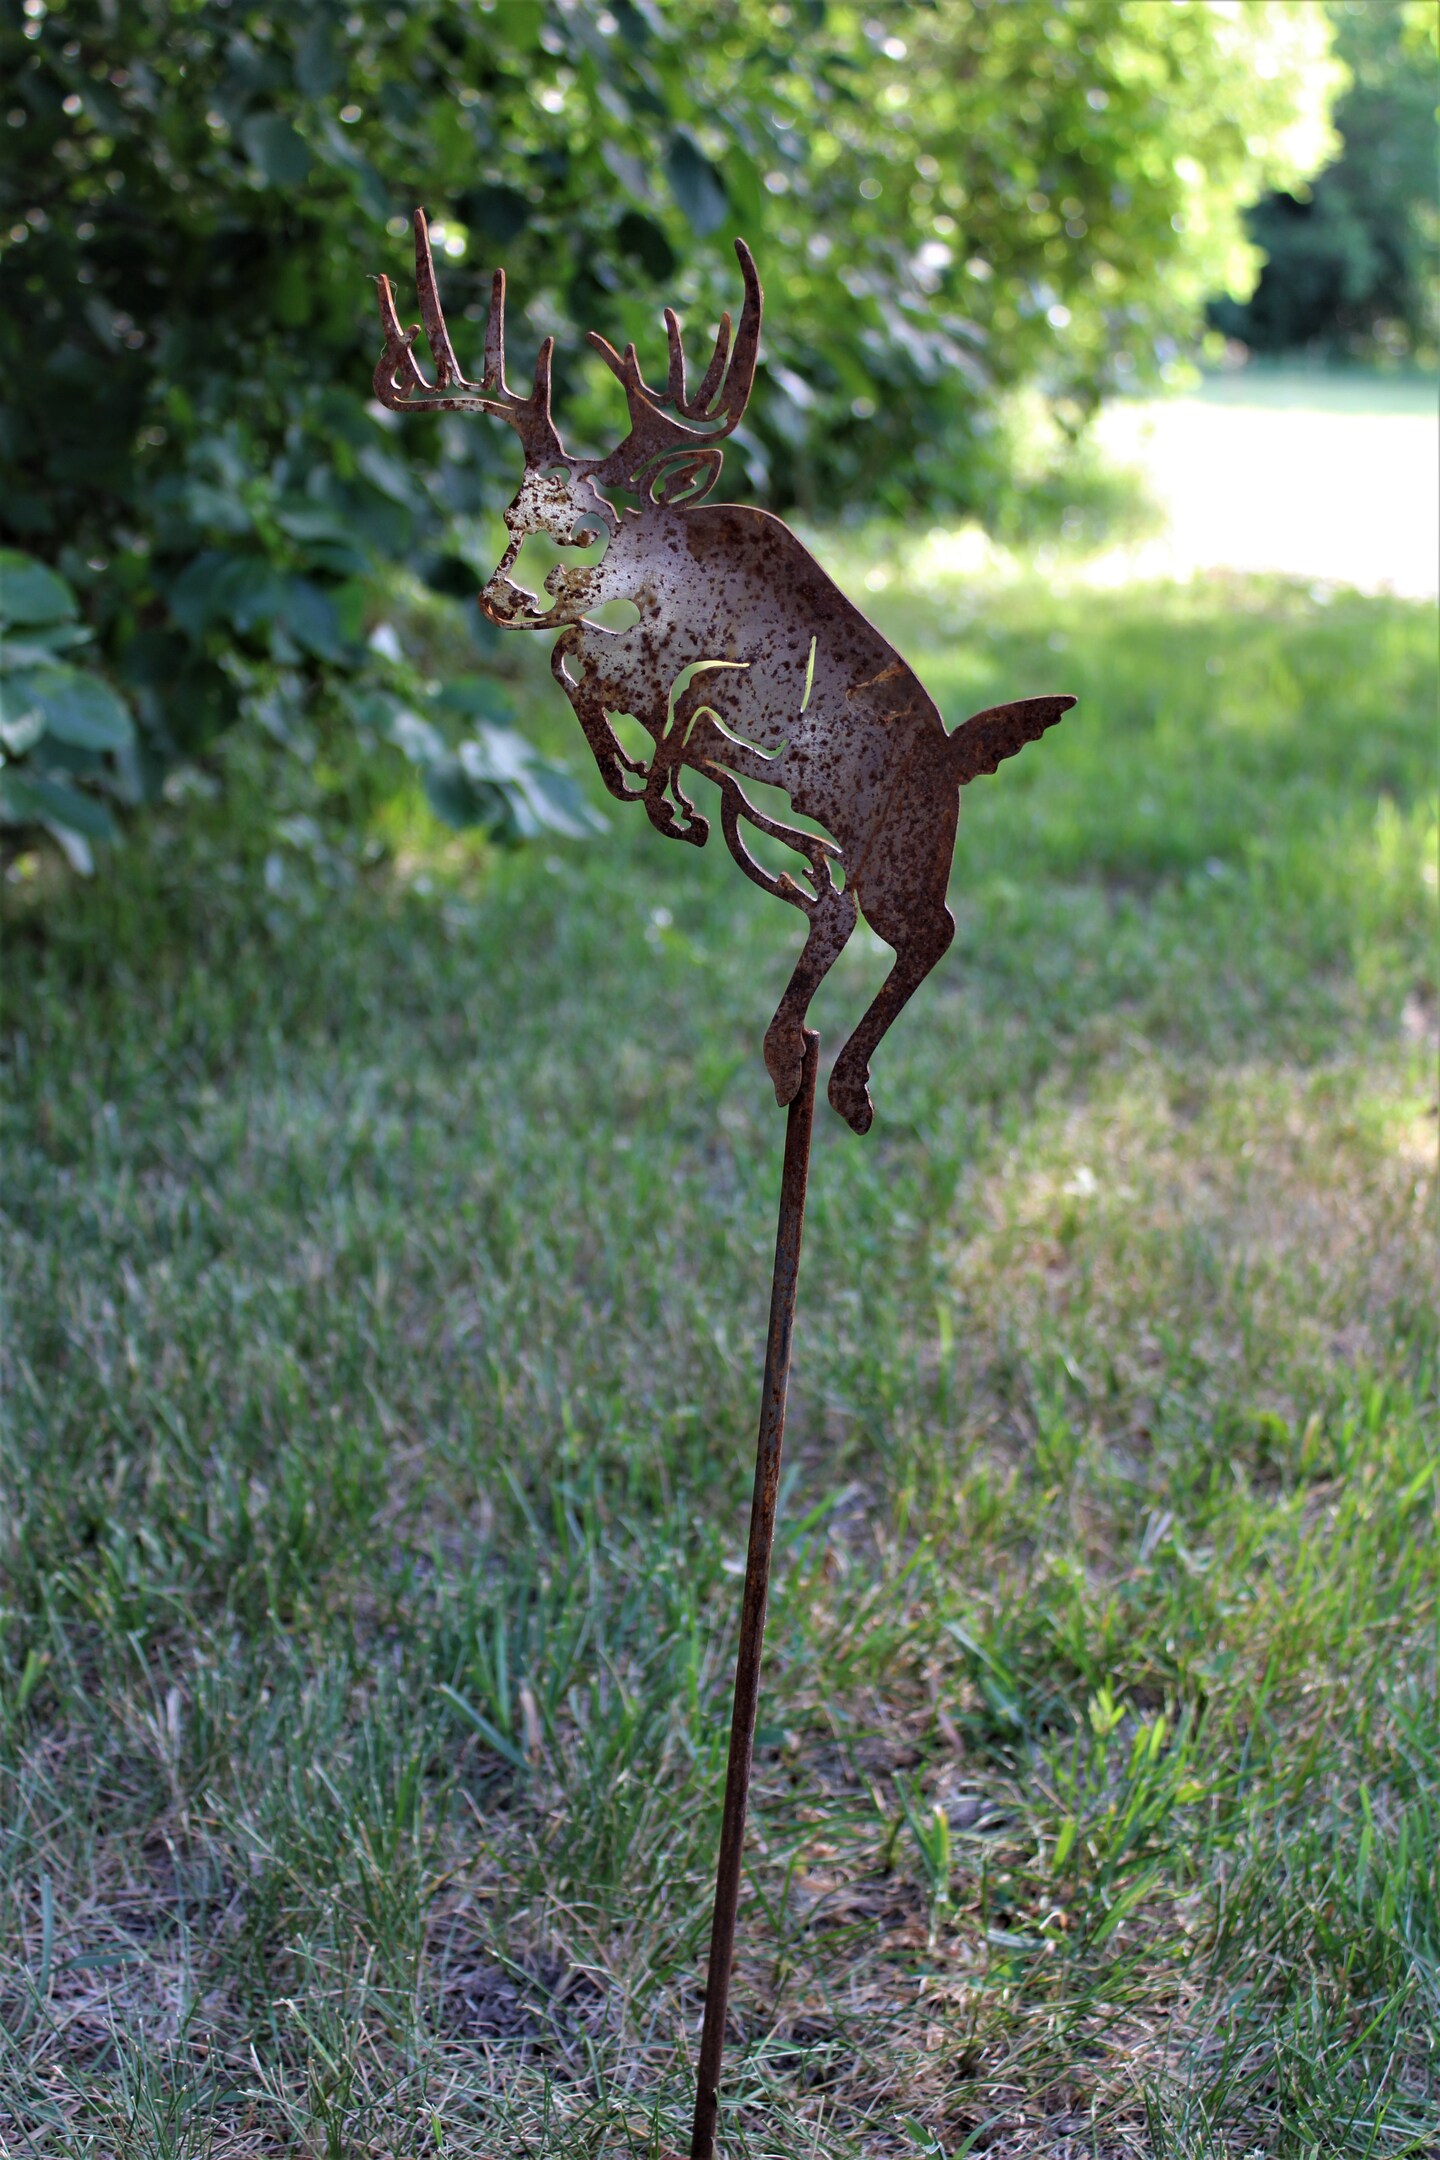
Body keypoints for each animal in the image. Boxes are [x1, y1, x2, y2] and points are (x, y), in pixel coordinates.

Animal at [374, 210, 1074, 1133]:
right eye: (509, 516)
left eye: (586, 527)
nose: (500, 595)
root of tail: (957, 759)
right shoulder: (630, 655)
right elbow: (581, 669)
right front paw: (639, 778)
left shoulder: (708, 669)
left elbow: (660, 693)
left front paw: (664, 797)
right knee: (837, 907)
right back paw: (796, 1035)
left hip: (903, 858)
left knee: (929, 929)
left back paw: (844, 1084)